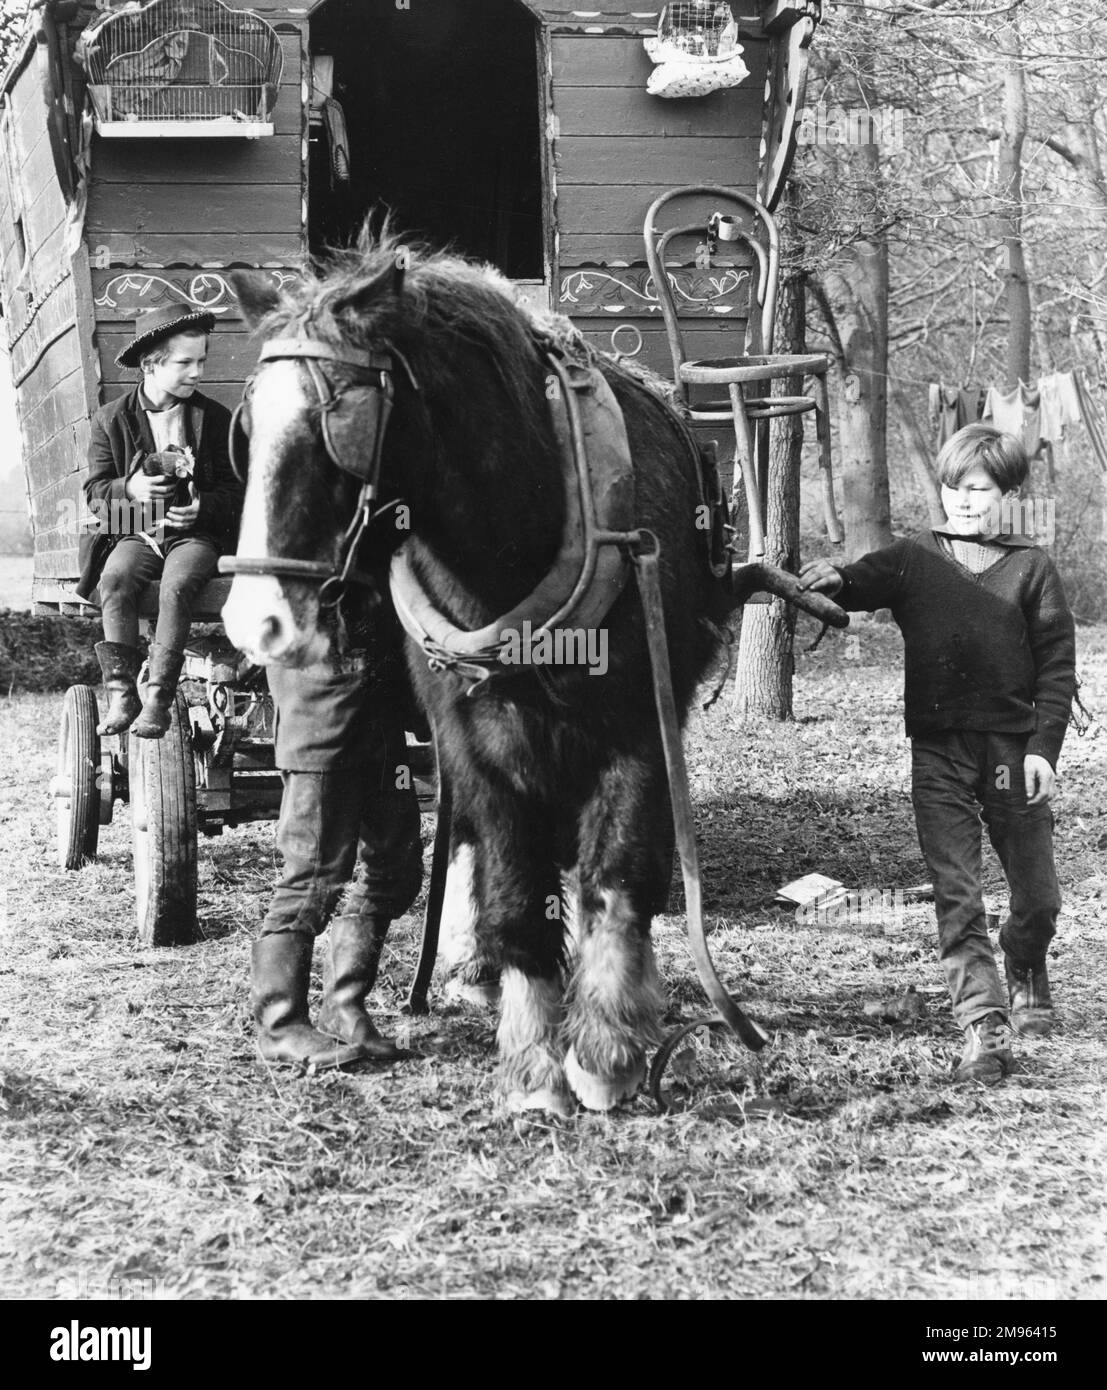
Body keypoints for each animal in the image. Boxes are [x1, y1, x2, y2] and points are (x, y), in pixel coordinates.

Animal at [221, 232, 736, 1113]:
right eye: (246, 427)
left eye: (336, 416)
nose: (256, 619)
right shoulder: (473, 742)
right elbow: (510, 896)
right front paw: (532, 1061)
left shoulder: (637, 730)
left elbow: (617, 879)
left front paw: (605, 1047)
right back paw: (472, 969)